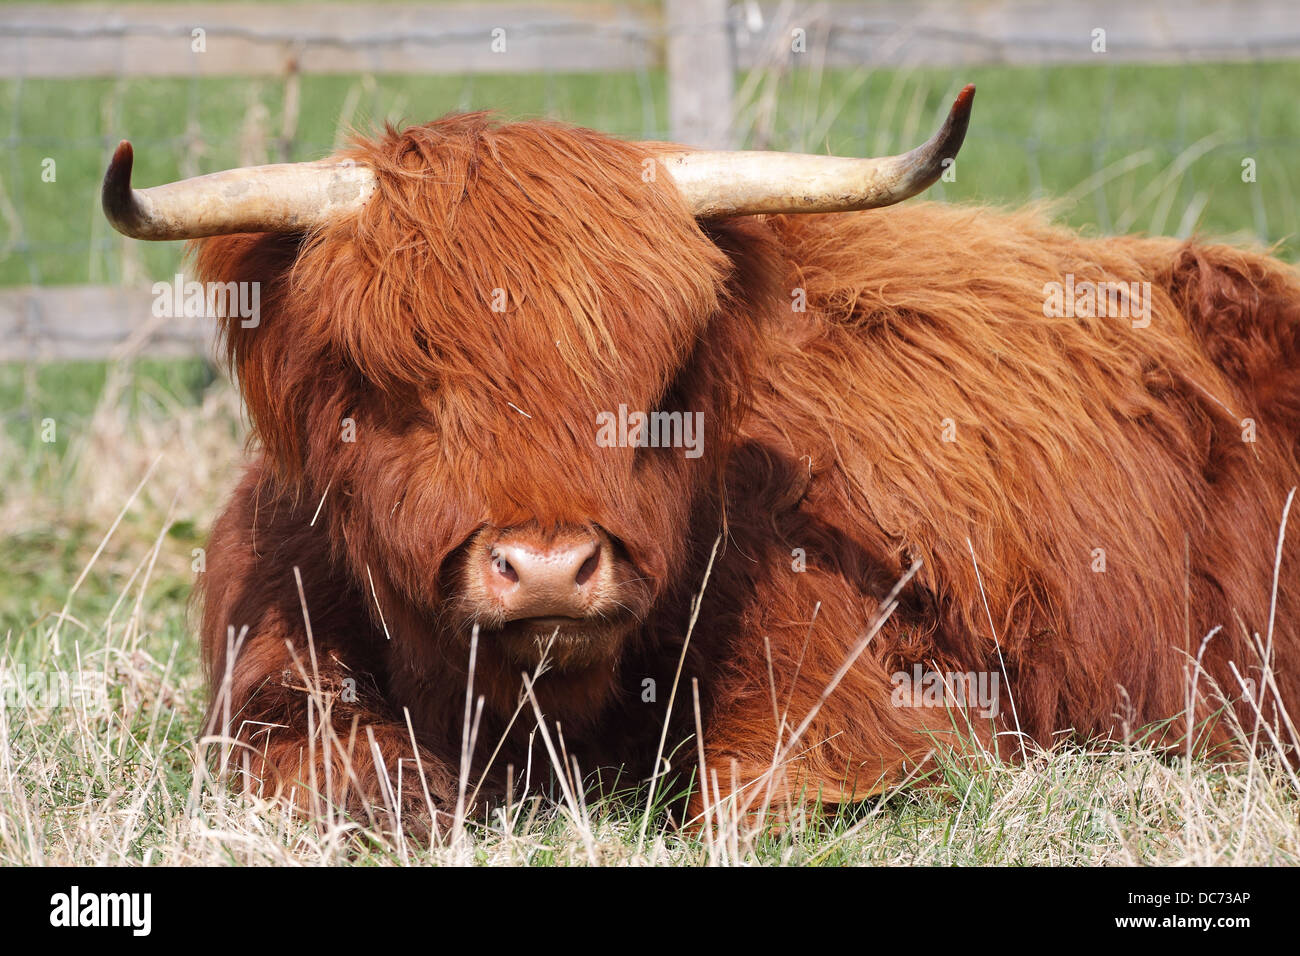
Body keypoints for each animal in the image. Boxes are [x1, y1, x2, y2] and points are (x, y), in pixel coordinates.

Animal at [102, 85, 1300, 834]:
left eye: (663, 377)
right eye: (391, 383)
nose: (548, 568)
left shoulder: (859, 678)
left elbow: (753, 791)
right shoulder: (270, 660)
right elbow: (335, 771)